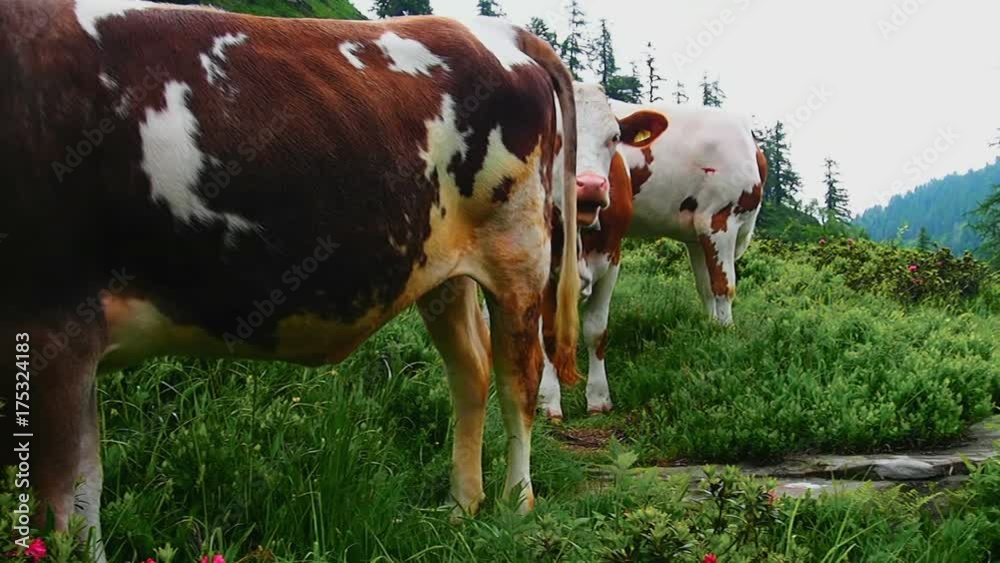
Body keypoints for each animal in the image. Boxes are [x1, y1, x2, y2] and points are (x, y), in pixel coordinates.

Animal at [1, 1, 588, 558]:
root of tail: (497, 31)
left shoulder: (54, 323)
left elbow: (66, 503)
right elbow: (80, 494)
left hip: (518, 257)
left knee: (519, 380)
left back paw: (516, 504)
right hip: (445, 271)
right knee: (471, 371)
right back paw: (462, 505)